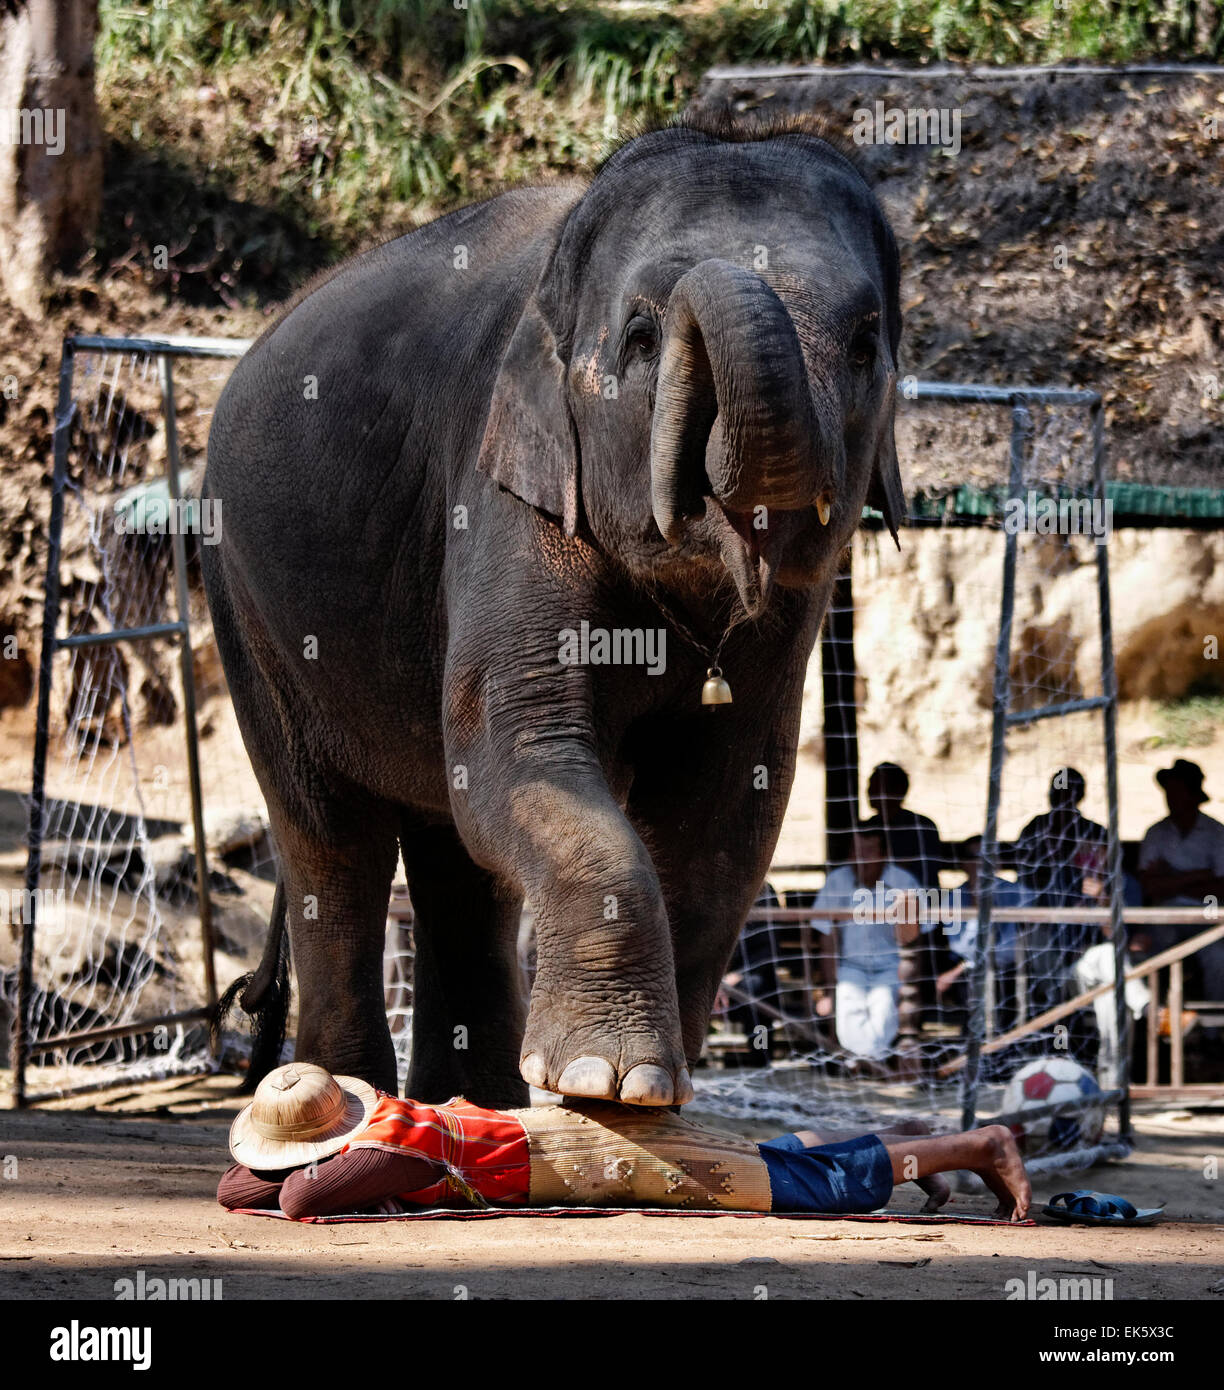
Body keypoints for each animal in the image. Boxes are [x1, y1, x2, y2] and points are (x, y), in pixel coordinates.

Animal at [202, 109, 904, 1108]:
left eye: (864, 345)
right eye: (640, 337)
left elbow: (731, 798)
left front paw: (651, 1092)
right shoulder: (502, 483)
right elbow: (520, 743)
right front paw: (604, 1078)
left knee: (454, 852)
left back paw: (470, 1106)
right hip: (246, 606)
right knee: (331, 839)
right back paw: (342, 1099)